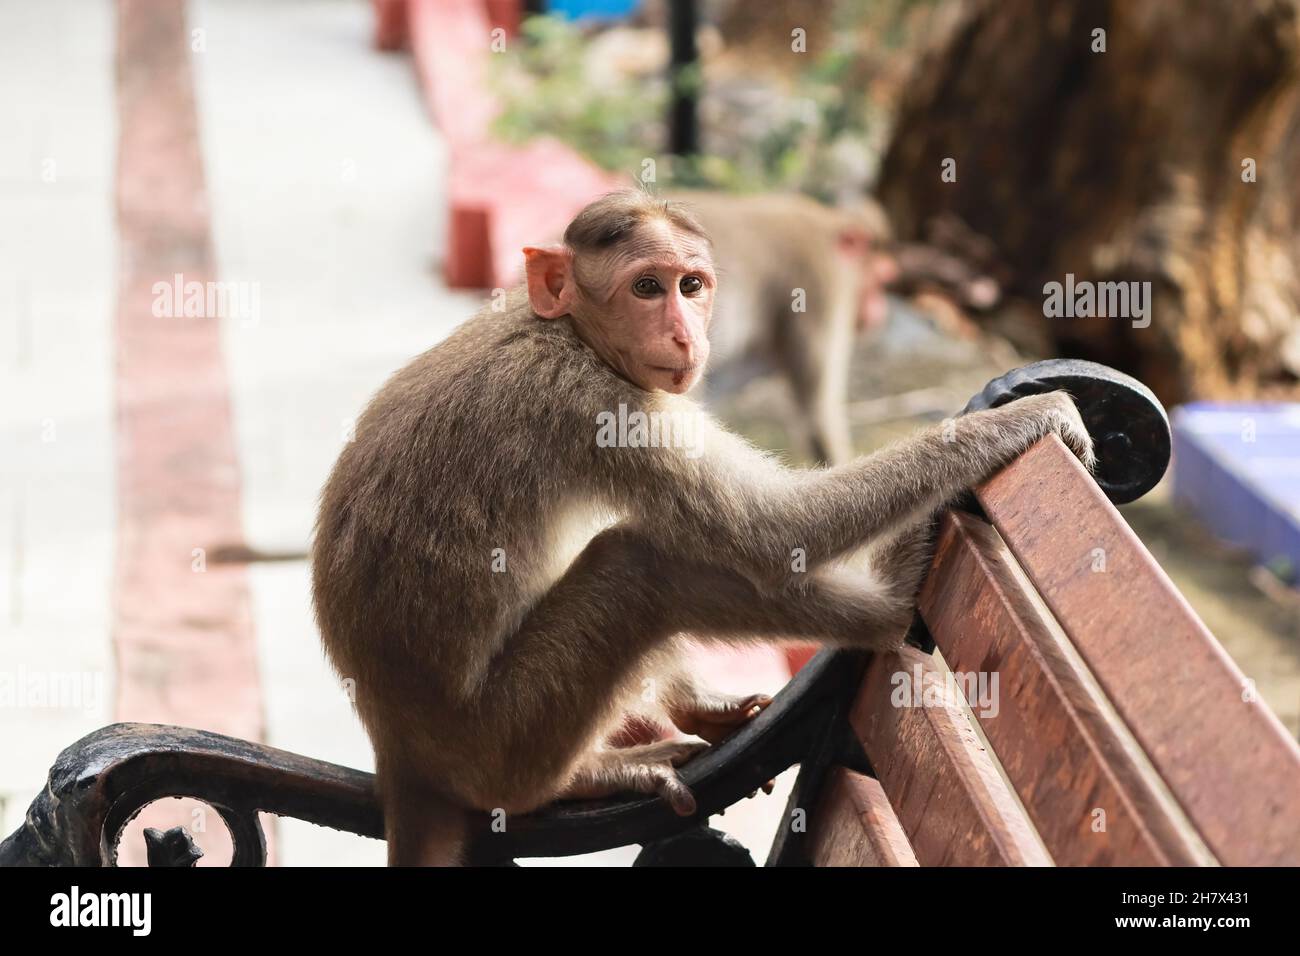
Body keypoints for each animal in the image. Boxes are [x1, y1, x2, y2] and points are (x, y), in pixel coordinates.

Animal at [310, 190, 1095, 866]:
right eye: (645, 288)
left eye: (690, 285)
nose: (684, 332)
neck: (566, 331)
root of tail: (400, 755)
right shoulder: (604, 406)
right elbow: (776, 532)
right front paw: (1023, 416)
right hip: (505, 740)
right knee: (639, 569)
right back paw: (889, 608)